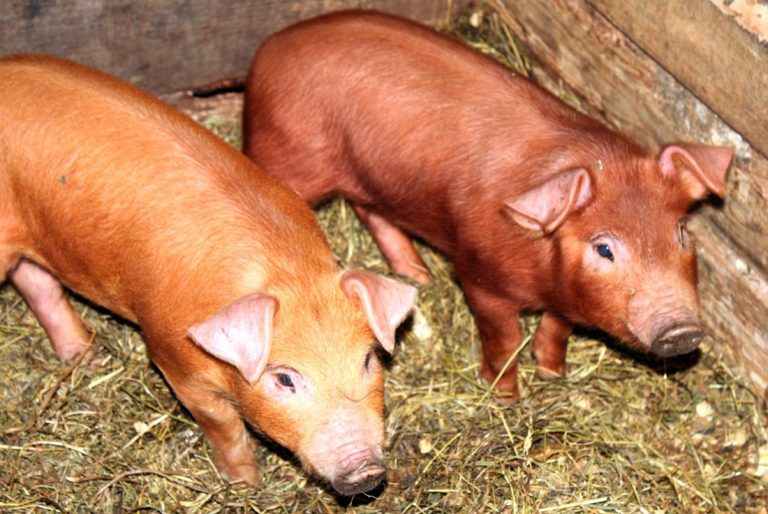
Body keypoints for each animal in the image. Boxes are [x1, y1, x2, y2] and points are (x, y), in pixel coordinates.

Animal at [0, 54, 417, 495]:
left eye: (368, 360)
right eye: (285, 379)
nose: (366, 470)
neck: (284, 273)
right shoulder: (173, 359)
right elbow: (224, 426)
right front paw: (245, 483)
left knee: (37, 282)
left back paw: (88, 358)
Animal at [242, 11, 734, 400]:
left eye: (681, 232)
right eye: (605, 248)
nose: (682, 329)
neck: (544, 271)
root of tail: (267, 51)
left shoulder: (561, 299)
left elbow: (559, 326)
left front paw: (553, 373)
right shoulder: (479, 276)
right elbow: (504, 336)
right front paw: (506, 396)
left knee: (371, 210)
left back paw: (418, 274)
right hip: (287, 154)